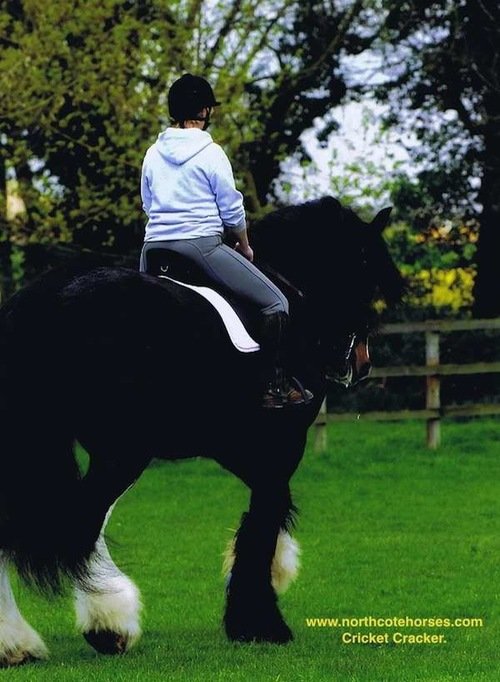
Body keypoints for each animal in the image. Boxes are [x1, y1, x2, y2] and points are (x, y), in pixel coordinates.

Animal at [0, 196, 404, 666]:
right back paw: (108, 623)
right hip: (122, 452)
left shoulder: (237, 448)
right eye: (364, 270)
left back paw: (18, 643)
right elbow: (265, 518)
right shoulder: (282, 445)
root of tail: (42, 302)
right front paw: (261, 622)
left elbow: (267, 515)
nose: (360, 363)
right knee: (78, 523)